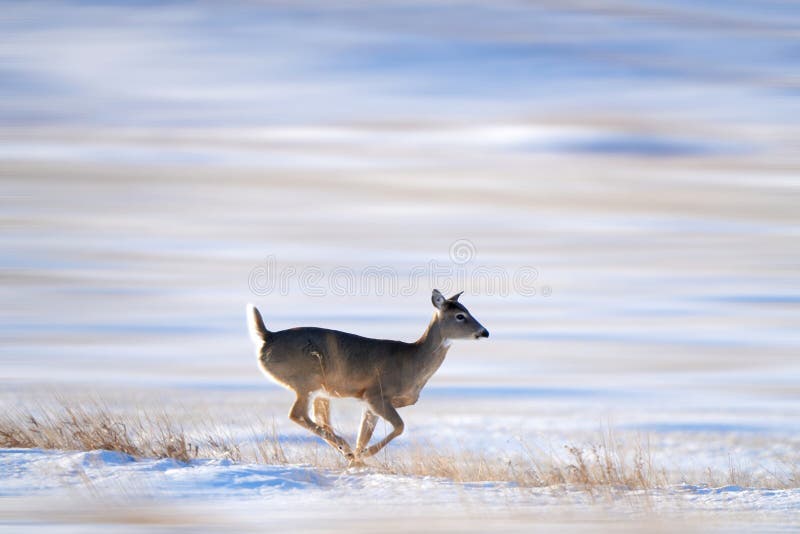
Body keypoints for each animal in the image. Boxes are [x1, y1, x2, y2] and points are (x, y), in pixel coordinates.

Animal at [246, 289, 489, 464]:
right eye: (460, 316)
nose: (485, 332)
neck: (412, 362)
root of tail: (267, 337)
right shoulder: (376, 394)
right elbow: (400, 426)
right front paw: (364, 455)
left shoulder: (368, 402)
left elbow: (364, 435)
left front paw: (358, 460)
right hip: (306, 380)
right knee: (297, 414)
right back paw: (343, 446)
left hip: (320, 390)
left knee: (319, 418)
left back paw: (345, 450)